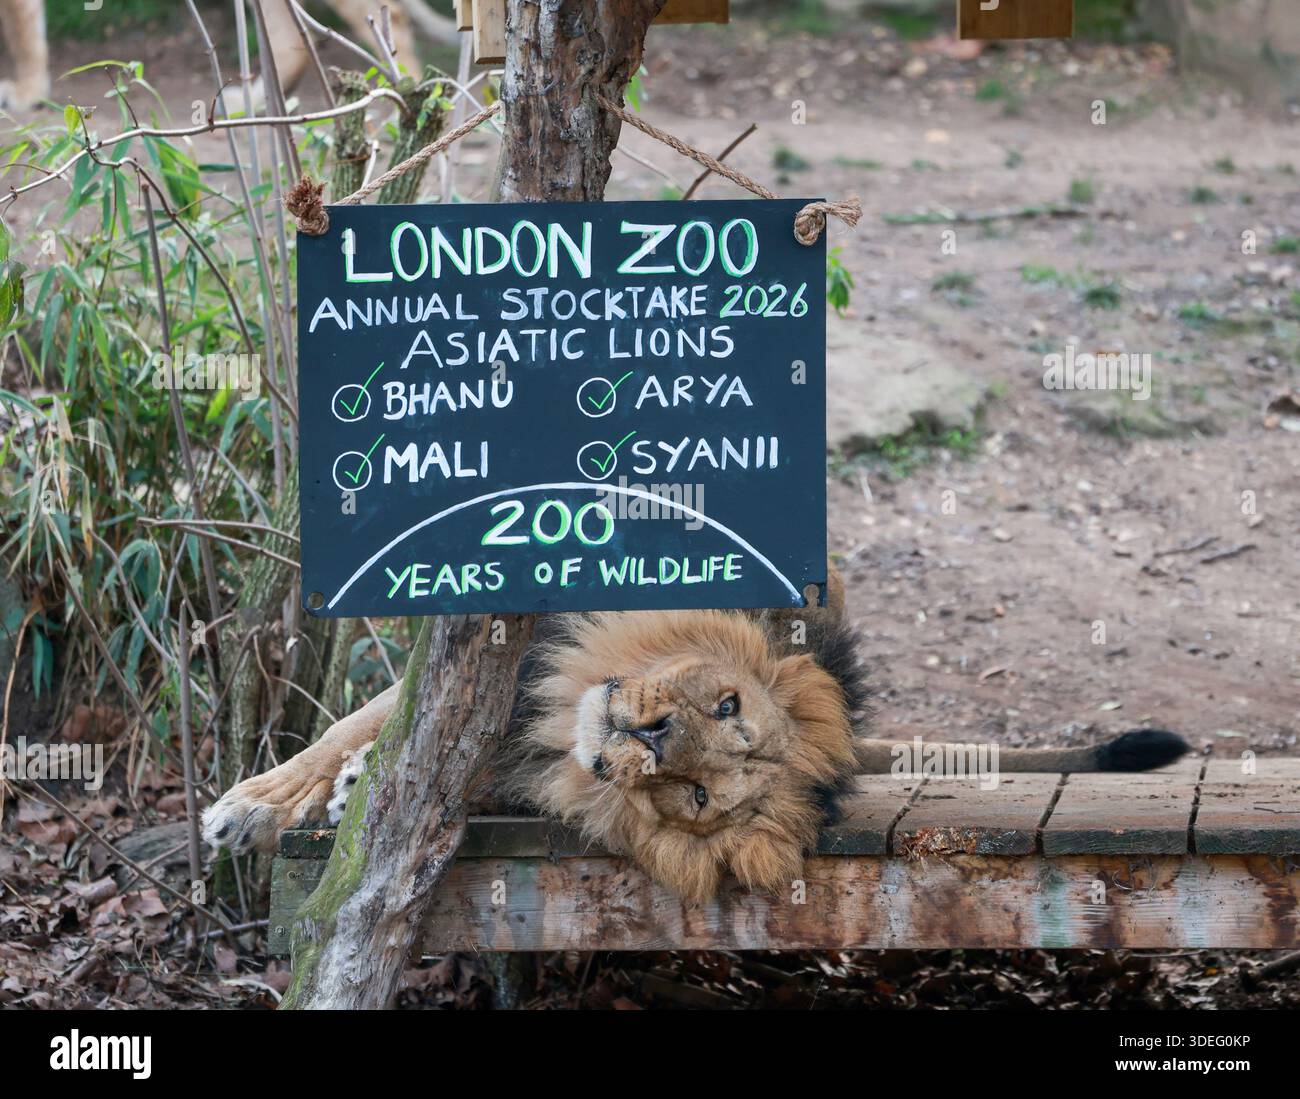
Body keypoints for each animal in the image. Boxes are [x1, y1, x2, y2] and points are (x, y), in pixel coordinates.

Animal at [202, 568, 1189, 903]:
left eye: (699, 794)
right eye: (725, 706)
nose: (647, 730)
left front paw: (347, 787)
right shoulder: (522, 644)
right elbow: (358, 720)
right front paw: (255, 802)